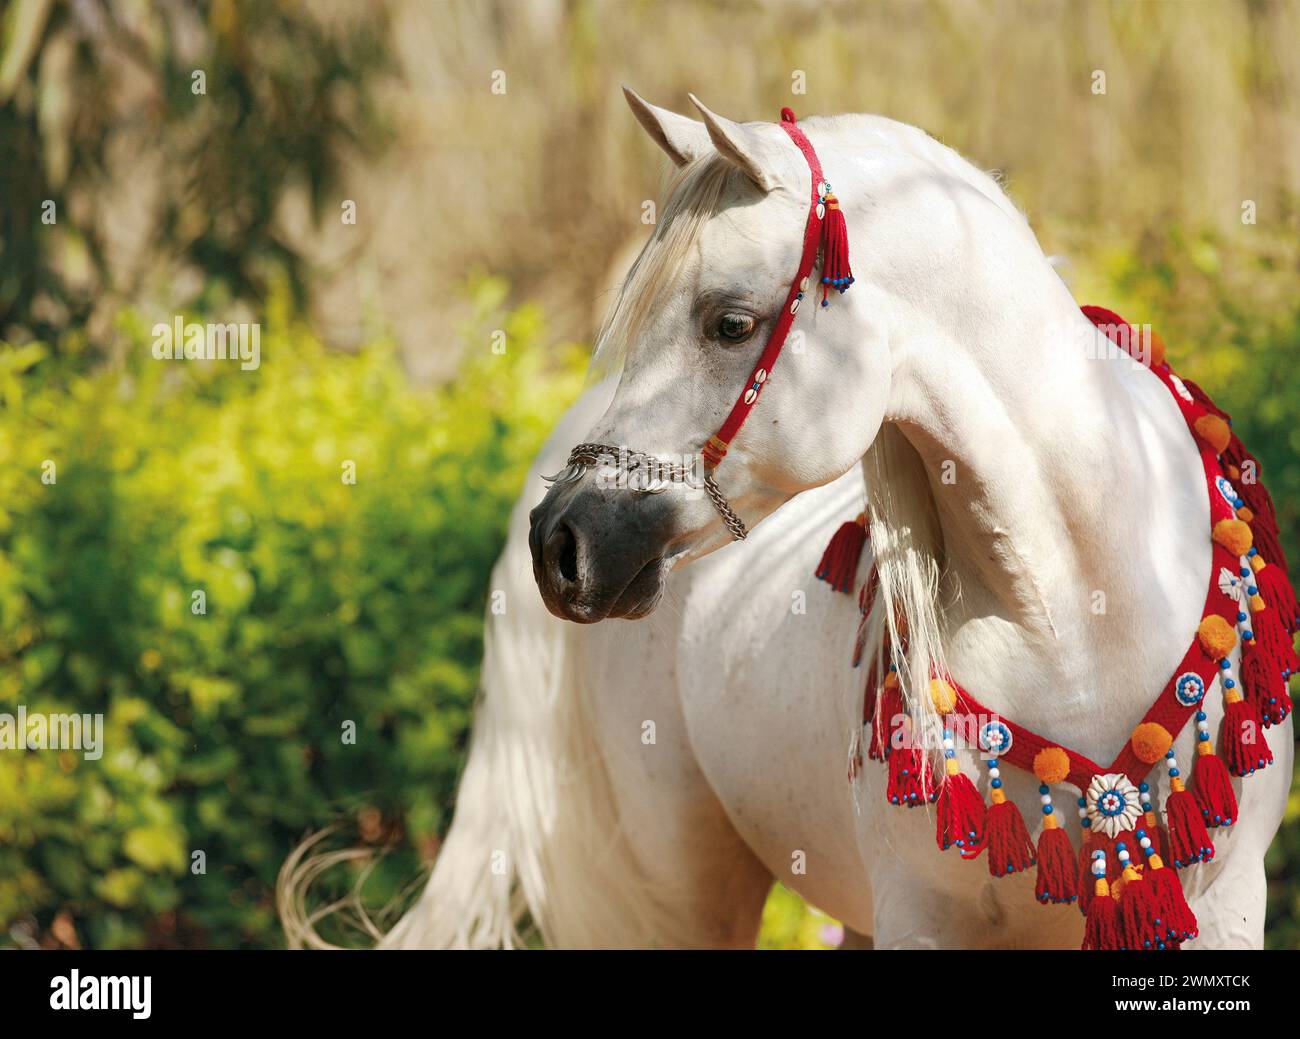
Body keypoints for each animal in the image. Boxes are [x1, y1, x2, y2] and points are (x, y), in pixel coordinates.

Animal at [379, 90, 1291, 949]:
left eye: (731, 322)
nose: (562, 542)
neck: (1079, 615)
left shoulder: (1227, 906)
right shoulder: (921, 917)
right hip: (685, 885)